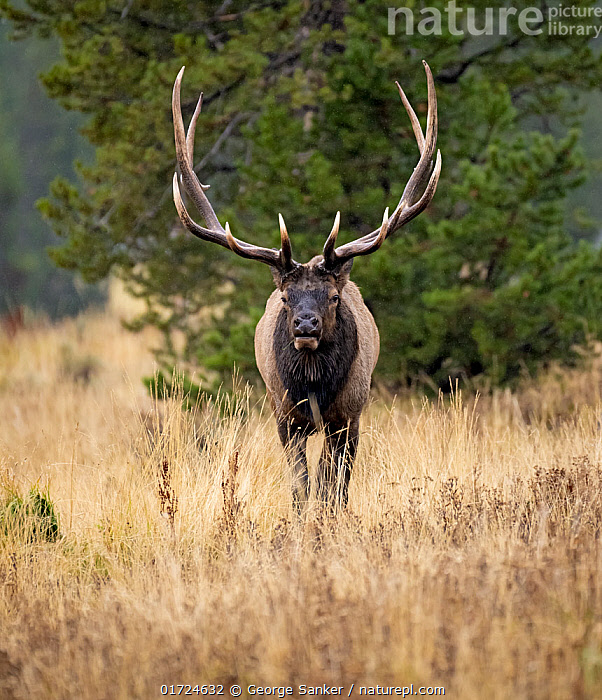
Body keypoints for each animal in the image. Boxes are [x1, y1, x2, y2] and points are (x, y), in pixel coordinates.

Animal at [171, 61, 441, 510]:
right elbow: (300, 486)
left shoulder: (349, 415)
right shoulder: (284, 417)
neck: (314, 387)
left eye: (332, 297)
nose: (306, 325)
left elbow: (334, 486)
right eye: (286, 297)